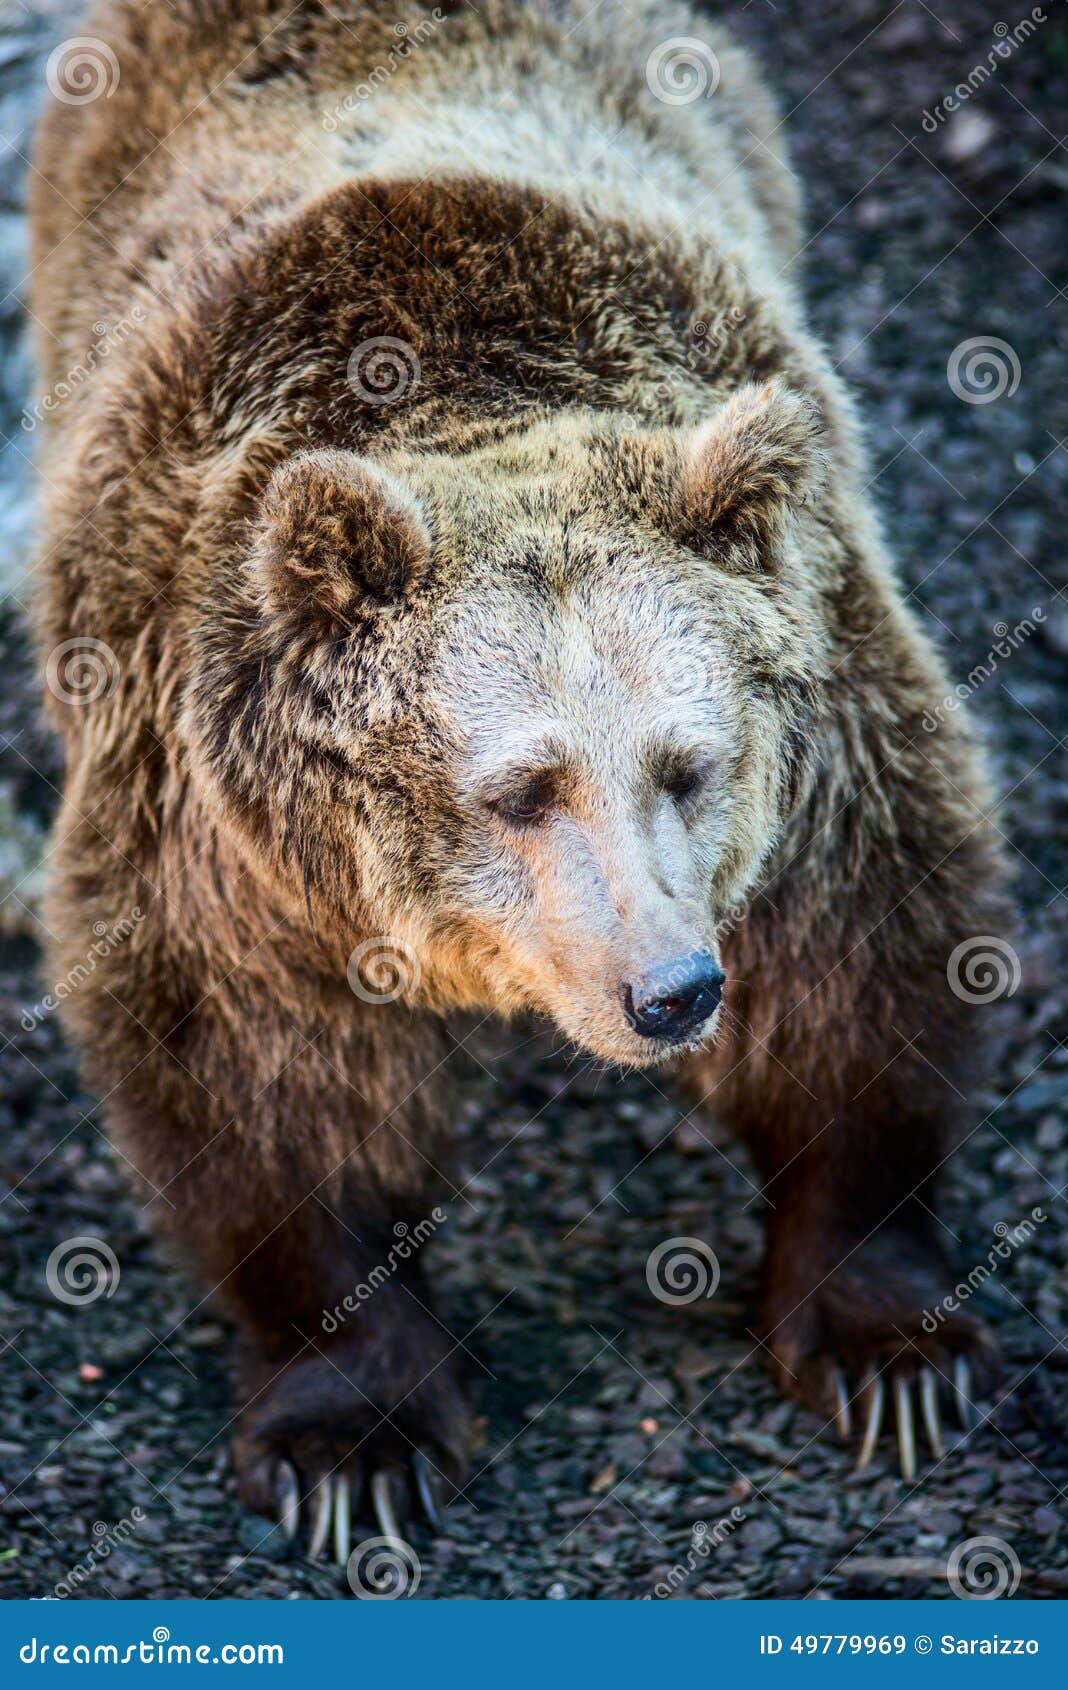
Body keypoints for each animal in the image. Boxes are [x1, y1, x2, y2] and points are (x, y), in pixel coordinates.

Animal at [30, 0, 1006, 1560]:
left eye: (687, 764)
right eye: (521, 786)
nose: (672, 990)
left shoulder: (816, 762)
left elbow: (859, 982)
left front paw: (890, 1349)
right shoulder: (224, 825)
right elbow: (258, 1070)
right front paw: (353, 1443)